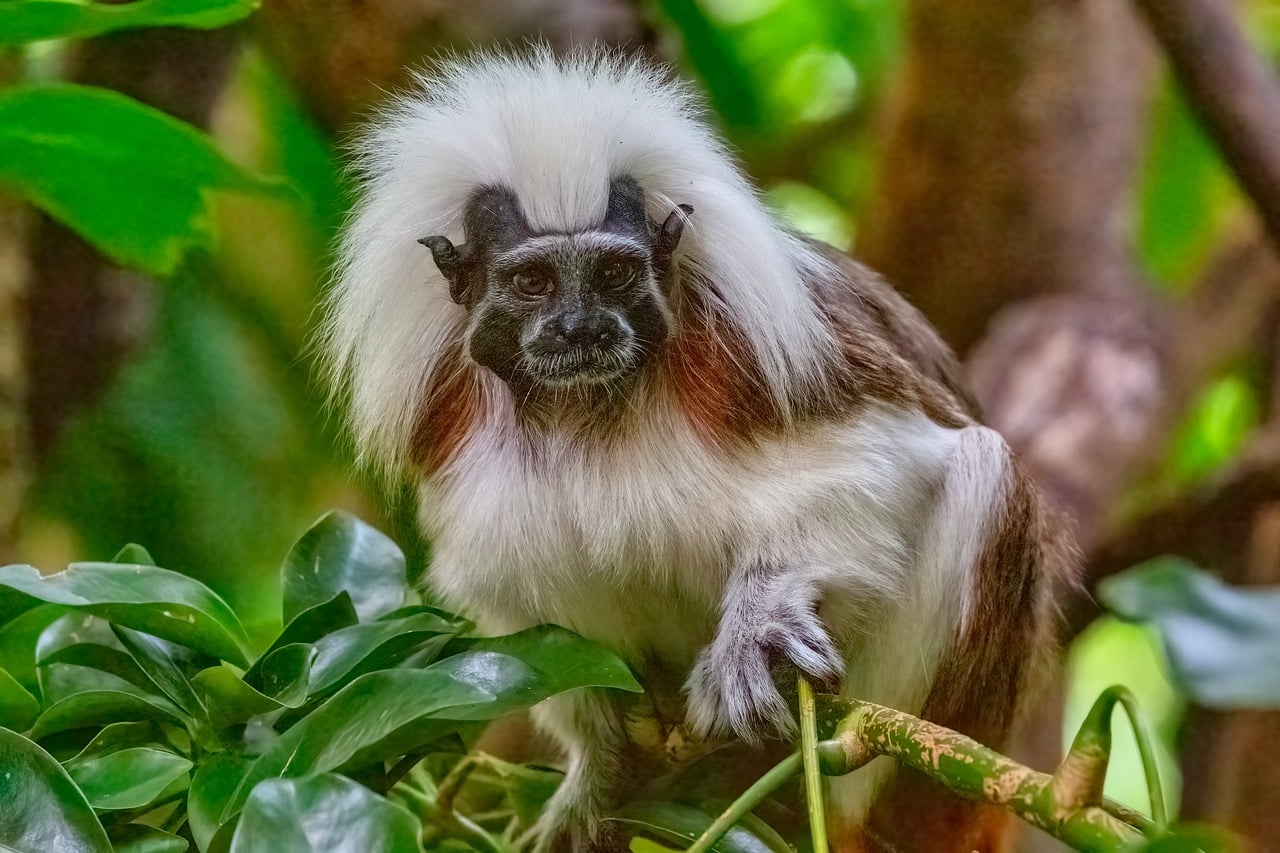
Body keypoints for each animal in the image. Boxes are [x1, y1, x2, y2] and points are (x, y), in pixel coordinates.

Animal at [323, 48, 1074, 852]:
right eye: (532, 282)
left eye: (615, 274)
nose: (582, 329)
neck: (583, 409)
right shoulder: (454, 428)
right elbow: (524, 601)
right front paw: (601, 767)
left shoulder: (752, 355)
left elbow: (890, 457)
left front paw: (756, 626)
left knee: (982, 469)